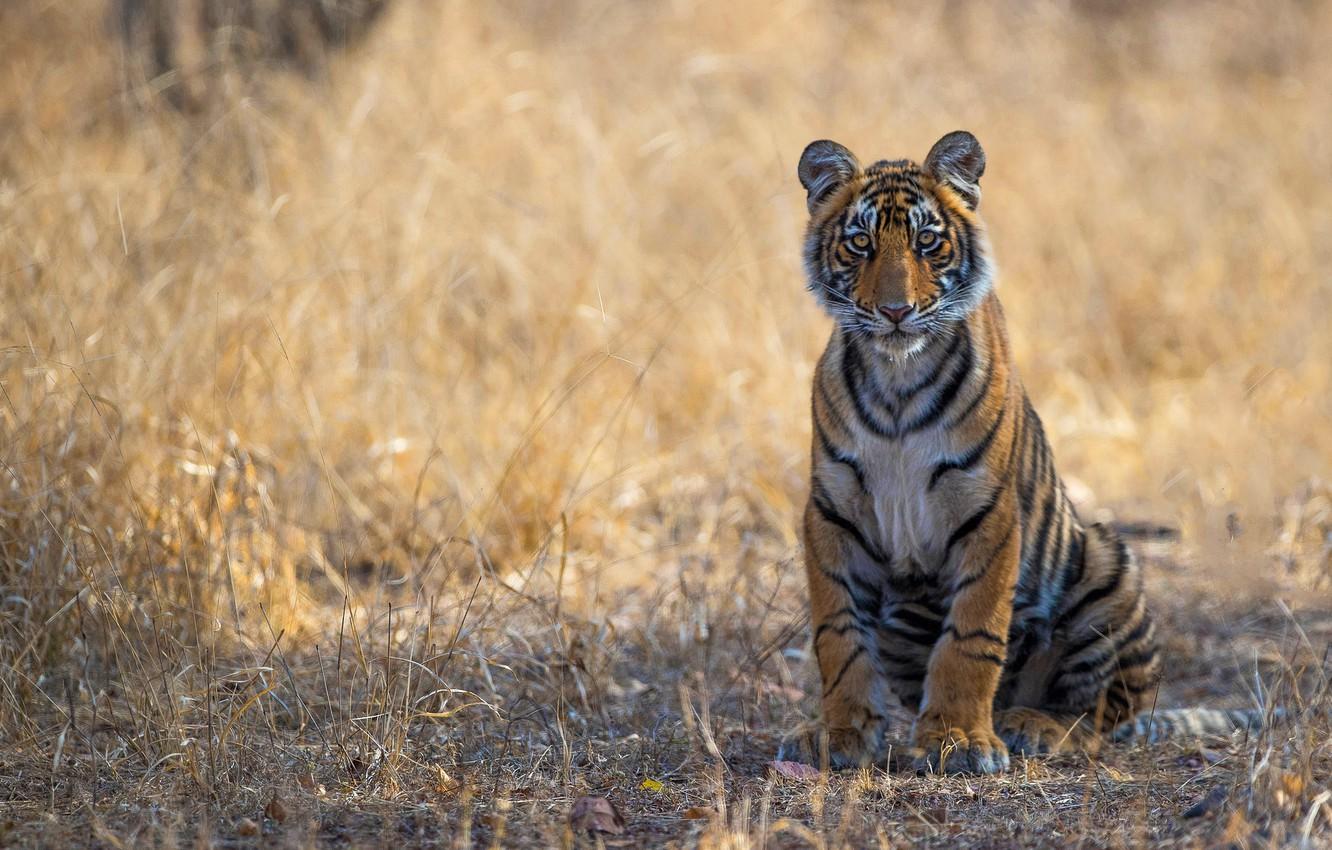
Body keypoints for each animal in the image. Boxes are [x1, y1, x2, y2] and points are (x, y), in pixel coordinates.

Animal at [797, 131, 1267, 774]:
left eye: (927, 242)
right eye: (861, 243)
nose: (895, 312)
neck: (896, 380)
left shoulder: (987, 514)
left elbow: (971, 637)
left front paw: (958, 740)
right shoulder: (832, 513)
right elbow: (838, 636)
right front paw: (841, 735)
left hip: (1109, 566)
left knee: (1101, 720)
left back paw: (1032, 725)